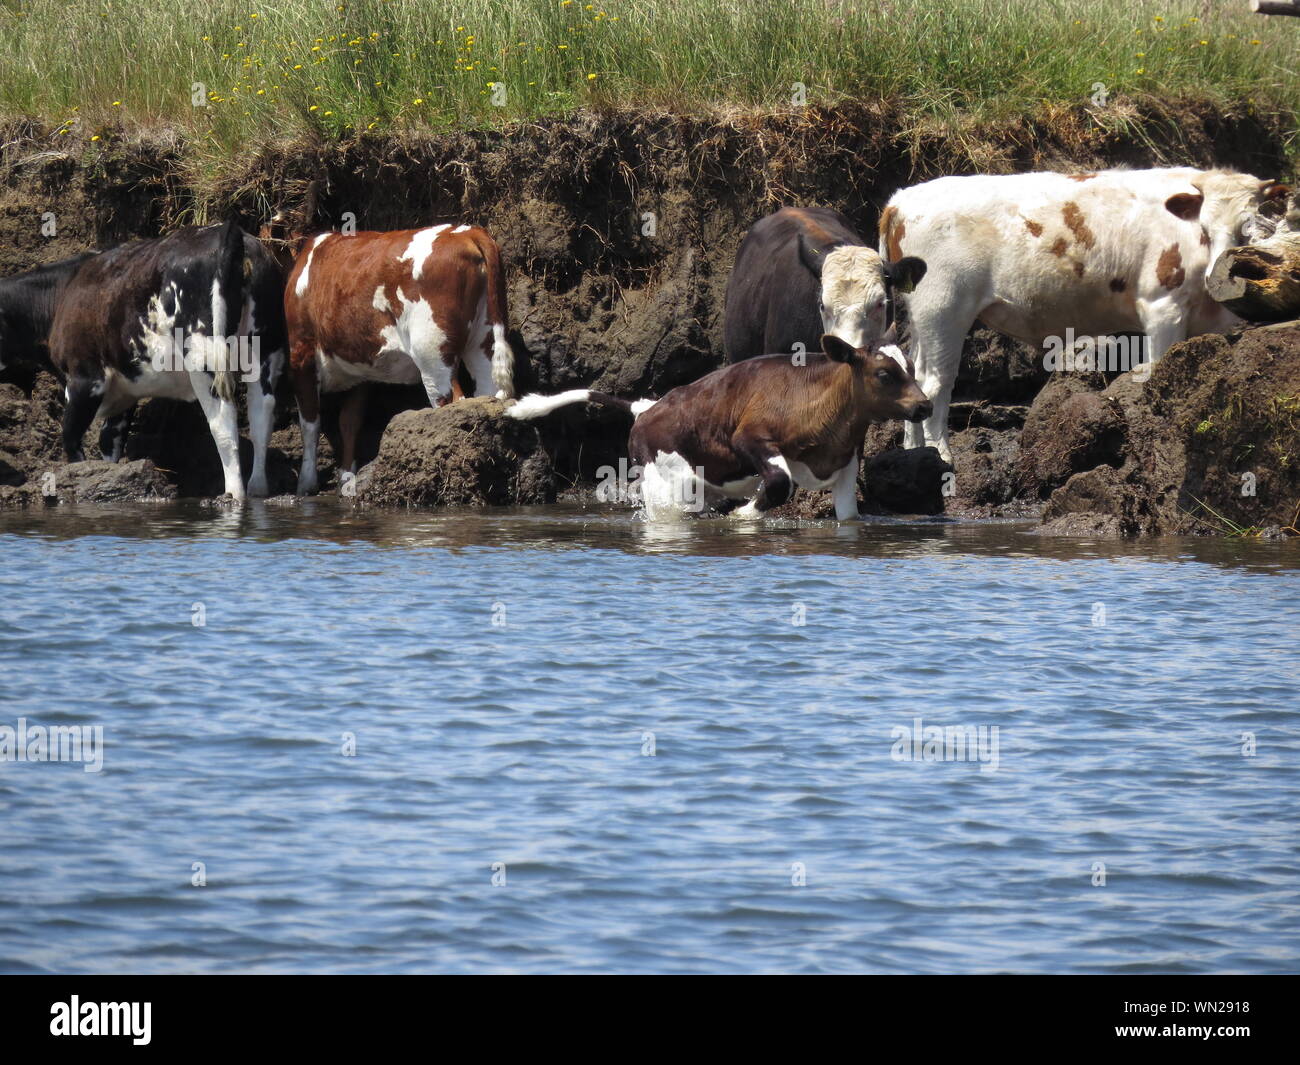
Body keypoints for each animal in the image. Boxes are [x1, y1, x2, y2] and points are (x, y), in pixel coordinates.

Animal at [0, 221, 286, 499]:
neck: (60, 295)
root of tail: (228, 231)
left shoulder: (85, 378)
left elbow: (71, 439)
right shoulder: (123, 393)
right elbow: (109, 443)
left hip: (204, 355)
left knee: (224, 425)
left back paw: (234, 494)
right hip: (265, 348)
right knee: (261, 416)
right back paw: (258, 489)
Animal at [283, 224, 514, 494]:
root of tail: (468, 232)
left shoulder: (301, 353)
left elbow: (310, 423)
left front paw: (305, 485)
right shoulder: (361, 370)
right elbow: (349, 421)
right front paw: (346, 477)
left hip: (432, 352)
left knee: (452, 400)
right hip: (483, 340)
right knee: (488, 393)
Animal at [506, 327, 931, 520]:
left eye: (911, 367)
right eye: (884, 374)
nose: (924, 405)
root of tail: (648, 408)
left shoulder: (845, 465)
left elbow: (849, 516)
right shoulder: (749, 439)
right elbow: (778, 485)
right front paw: (743, 516)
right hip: (668, 486)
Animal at [880, 167, 1290, 461]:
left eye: (1250, 230)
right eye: (1205, 228)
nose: (1215, 276)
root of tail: (901, 199)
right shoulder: (1162, 306)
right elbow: (1158, 365)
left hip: (922, 314)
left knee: (915, 373)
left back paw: (914, 455)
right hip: (944, 305)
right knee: (937, 382)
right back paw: (941, 457)